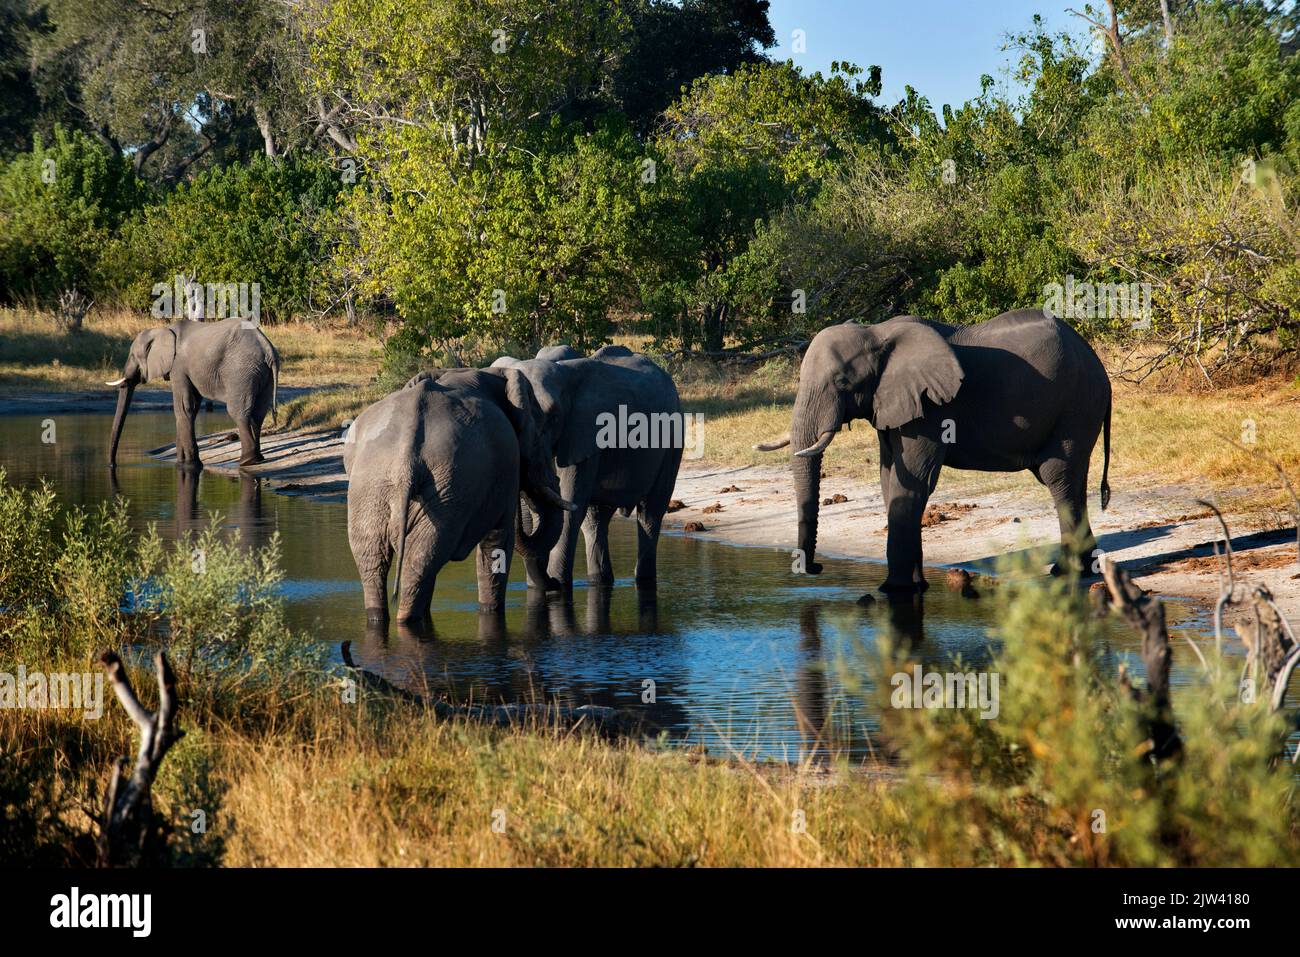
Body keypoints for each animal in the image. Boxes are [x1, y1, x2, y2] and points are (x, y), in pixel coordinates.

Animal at [106, 316, 279, 469]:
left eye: (133, 356)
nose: (112, 465)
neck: (163, 330)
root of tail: (267, 347)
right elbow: (193, 407)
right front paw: (182, 461)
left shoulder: (178, 366)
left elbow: (183, 408)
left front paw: (188, 464)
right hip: (262, 373)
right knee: (258, 413)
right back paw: (258, 458)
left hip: (240, 370)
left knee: (238, 412)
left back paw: (247, 461)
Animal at [343, 367, 576, 624]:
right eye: (542, 434)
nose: (554, 584)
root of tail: (405, 458)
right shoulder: (506, 468)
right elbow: (498, 543)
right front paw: (490, 611)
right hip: (447, 492)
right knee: (423, 558)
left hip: (372, 488)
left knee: (375, 559)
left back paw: (381, 617)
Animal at [490, 346, 683, 591]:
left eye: (553, 417)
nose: (550, 583)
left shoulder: (585, 431)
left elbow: (570, 506)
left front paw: (558, 584)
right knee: (595, 520)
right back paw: (599, 581)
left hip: (672, 439)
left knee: (650, 513)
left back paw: (643, 580)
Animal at [757, 309, 1112, 595]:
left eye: (843, 381)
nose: (815, 568)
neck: (876, 332)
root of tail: (1095, 360)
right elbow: (889, 481)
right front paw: (915, 587)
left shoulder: (930, 409)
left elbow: (913, 484)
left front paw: (894, 591)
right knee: (1069, 481)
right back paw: (1079, 570)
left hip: (1077, 405)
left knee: (1058, 476)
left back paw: (1067, 572)